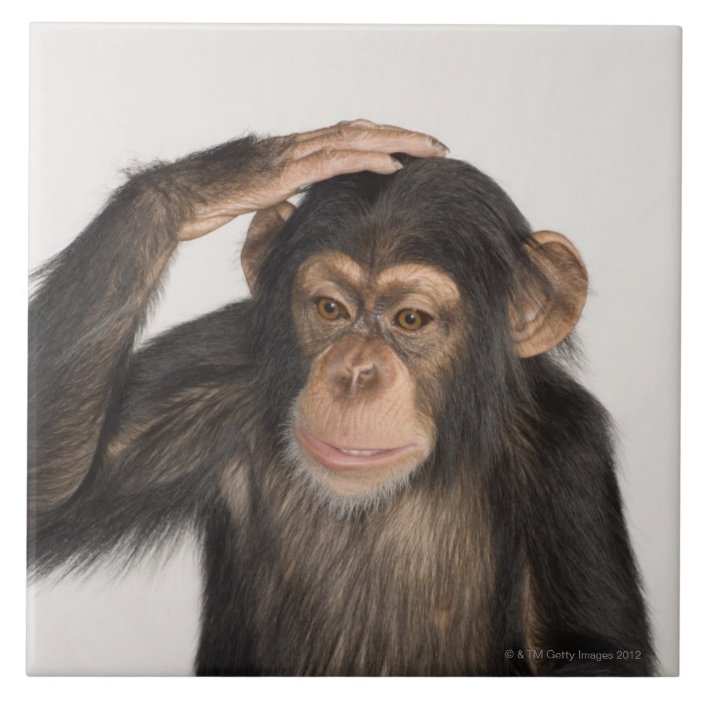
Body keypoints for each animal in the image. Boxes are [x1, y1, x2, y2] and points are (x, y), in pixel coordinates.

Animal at [28, 120, 654, 675]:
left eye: (410, 319)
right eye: (331, 309)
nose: (354, 372)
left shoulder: (564, 453)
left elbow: (590, 650)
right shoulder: (219, 369)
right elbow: (57, 494)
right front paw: (236, 175)